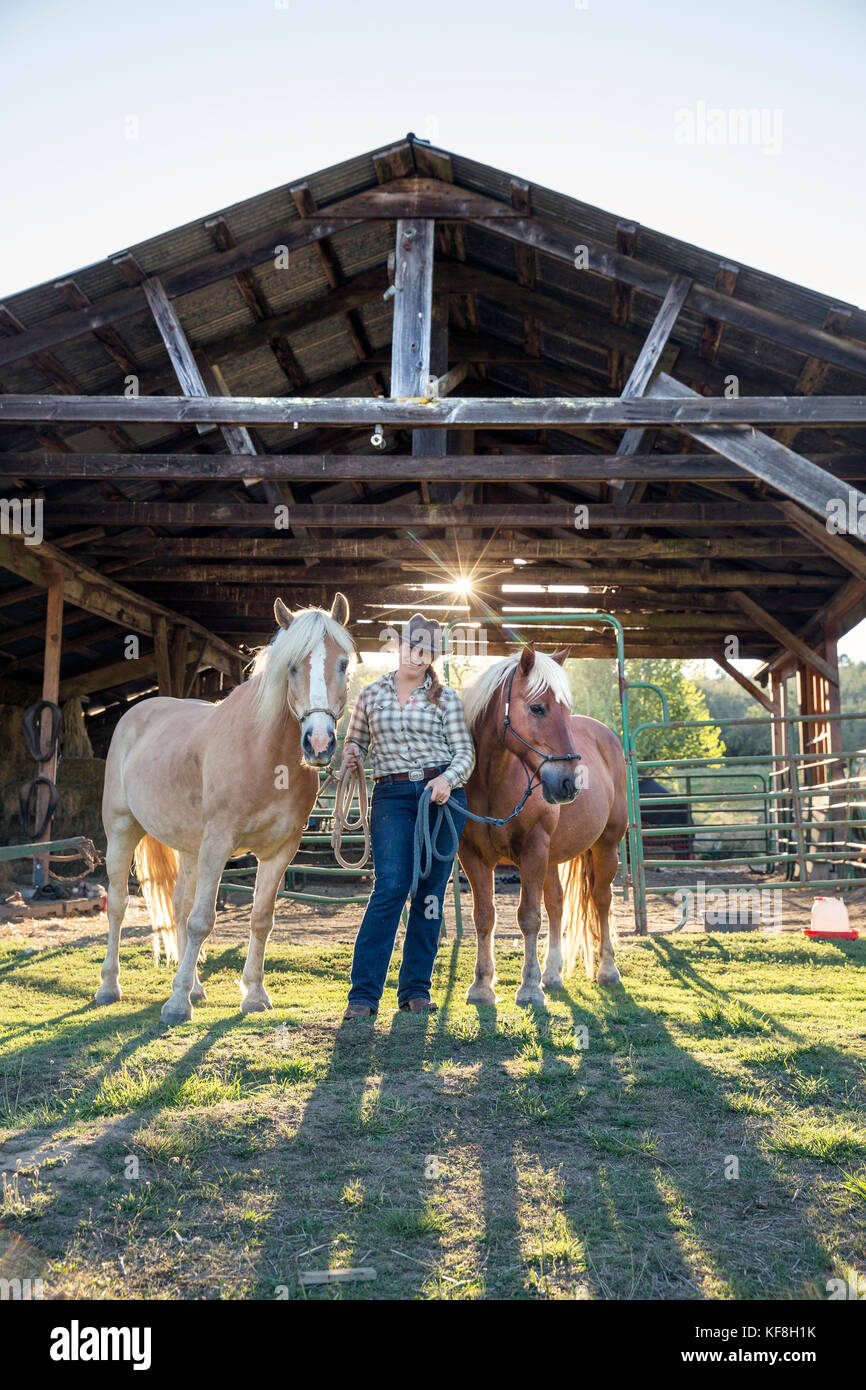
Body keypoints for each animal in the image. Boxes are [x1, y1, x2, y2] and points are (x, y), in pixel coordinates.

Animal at [97, 594, 354, 1025]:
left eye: (344, 663)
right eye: (292, 666)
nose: (319, 743)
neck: (265, 755)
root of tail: (136, 713)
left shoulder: (280, 851)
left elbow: (260, 919)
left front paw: (254, 994)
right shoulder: (218, 843)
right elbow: (204, 920)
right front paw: (177, 1004)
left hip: (189, 848)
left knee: (179, 905)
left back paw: (195, 986)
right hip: (121, 830)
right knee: (118, 905)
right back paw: (109, 986)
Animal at [459, 645, 628, 1007]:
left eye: (566, 710)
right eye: (537, 708)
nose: (569, 783)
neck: (494, 785)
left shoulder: (533, 852)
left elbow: (528, 917)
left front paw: (529, 988)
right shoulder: (473, 856)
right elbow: (484, 916)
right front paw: (482, 986)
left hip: (605, 846)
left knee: (601, 899)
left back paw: (607, 971)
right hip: (552, 859)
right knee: (557, 904)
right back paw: (552, 974)